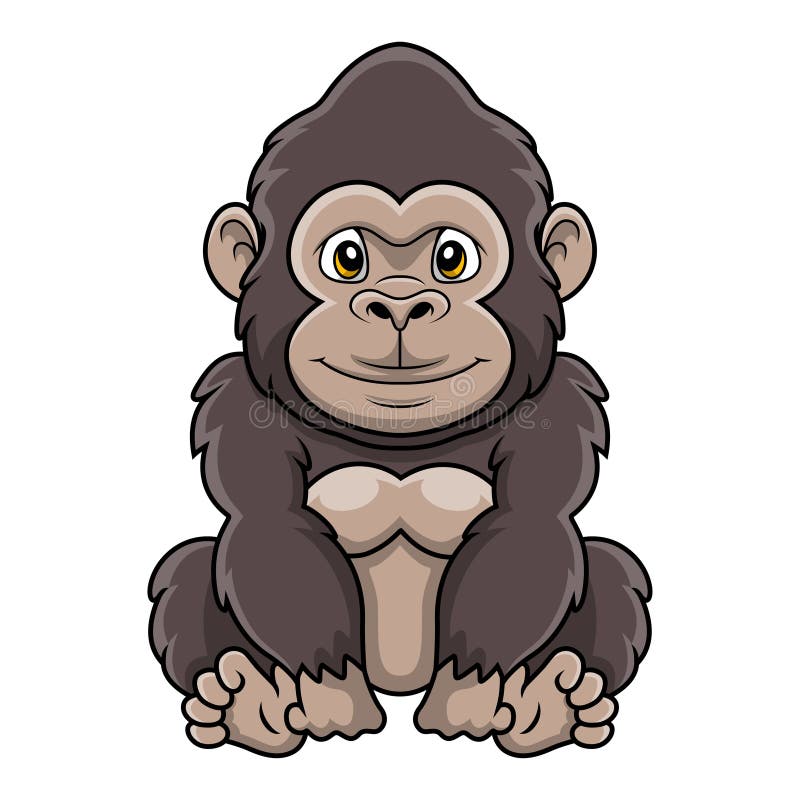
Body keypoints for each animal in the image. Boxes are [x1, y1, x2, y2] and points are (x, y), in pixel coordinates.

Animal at [148, 43, 651, 758]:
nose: (400, 304)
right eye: (347, 258)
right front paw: (330, 695)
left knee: (608, 563)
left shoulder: (559, 403)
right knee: (191, 563)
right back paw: (246, 702)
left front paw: (469, 695)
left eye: (452, 258)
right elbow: (271, 529)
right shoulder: (239, 402)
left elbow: (528, 529)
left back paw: (554, 701)